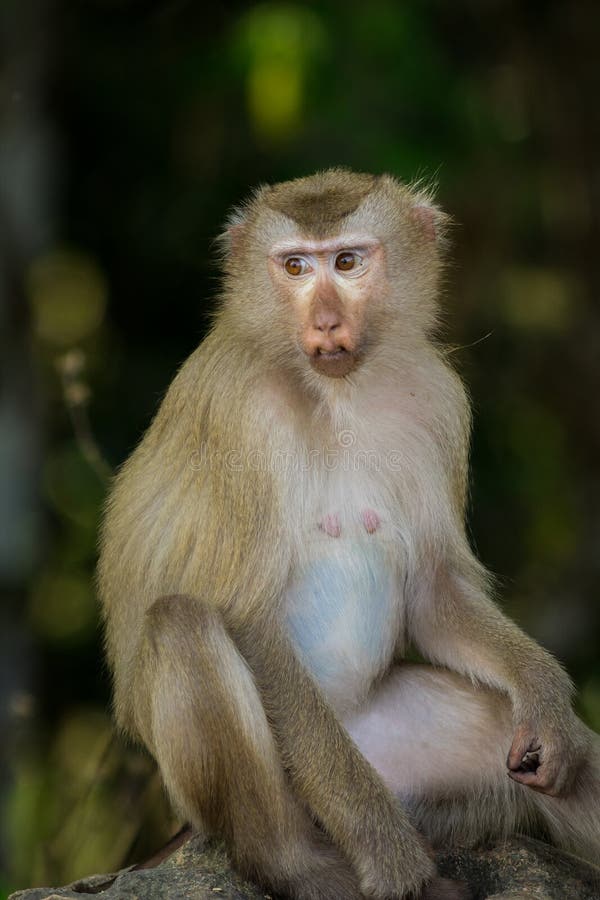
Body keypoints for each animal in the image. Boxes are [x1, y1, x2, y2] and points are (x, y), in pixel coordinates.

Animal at [97, 169, 600, 900]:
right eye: (295, 267)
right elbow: (244, 616)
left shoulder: (439, 400)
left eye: (347, 261)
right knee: (182, 623)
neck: (338, 392)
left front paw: (546, 699)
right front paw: (390, 856)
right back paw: (298, 864)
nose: (326, 322)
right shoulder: (241, 413)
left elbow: (433, 591)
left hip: (392, 753)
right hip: (292, 788)